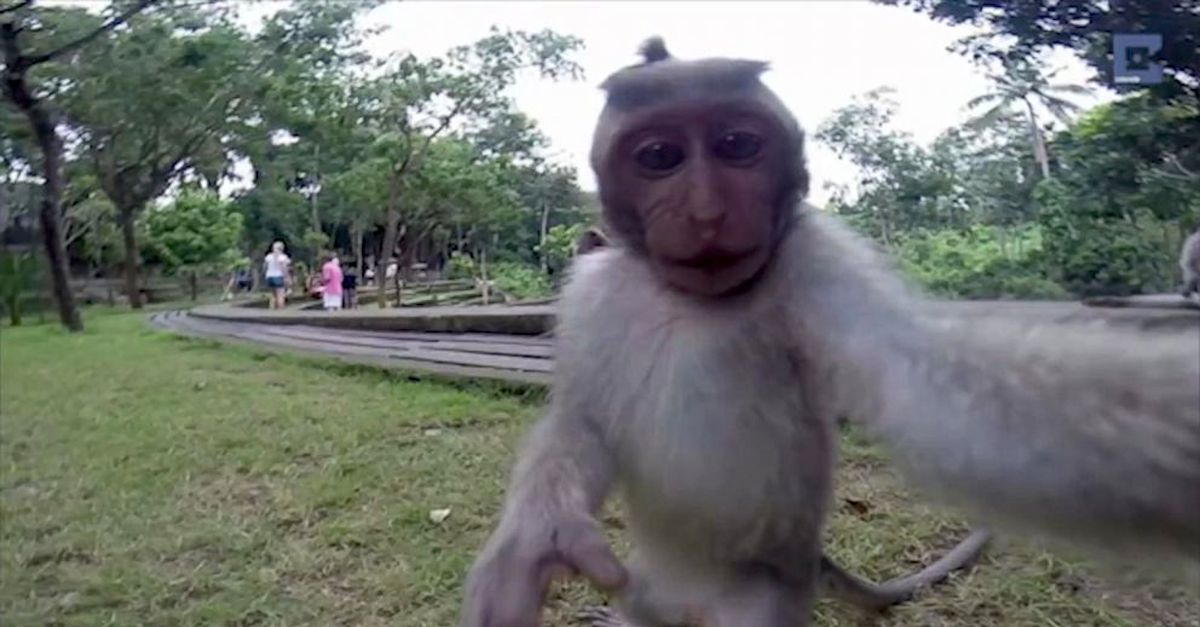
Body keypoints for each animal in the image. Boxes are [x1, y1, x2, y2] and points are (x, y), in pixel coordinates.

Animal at [459, 38, 1200, 627]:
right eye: (662, 156)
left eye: (737, 146)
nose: (705, 211)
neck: (692, 300)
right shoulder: (593, 292)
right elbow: (582, 418)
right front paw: (535, 544)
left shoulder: (819, 266)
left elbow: (939, 392)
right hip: (650, 590)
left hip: (757, 601)